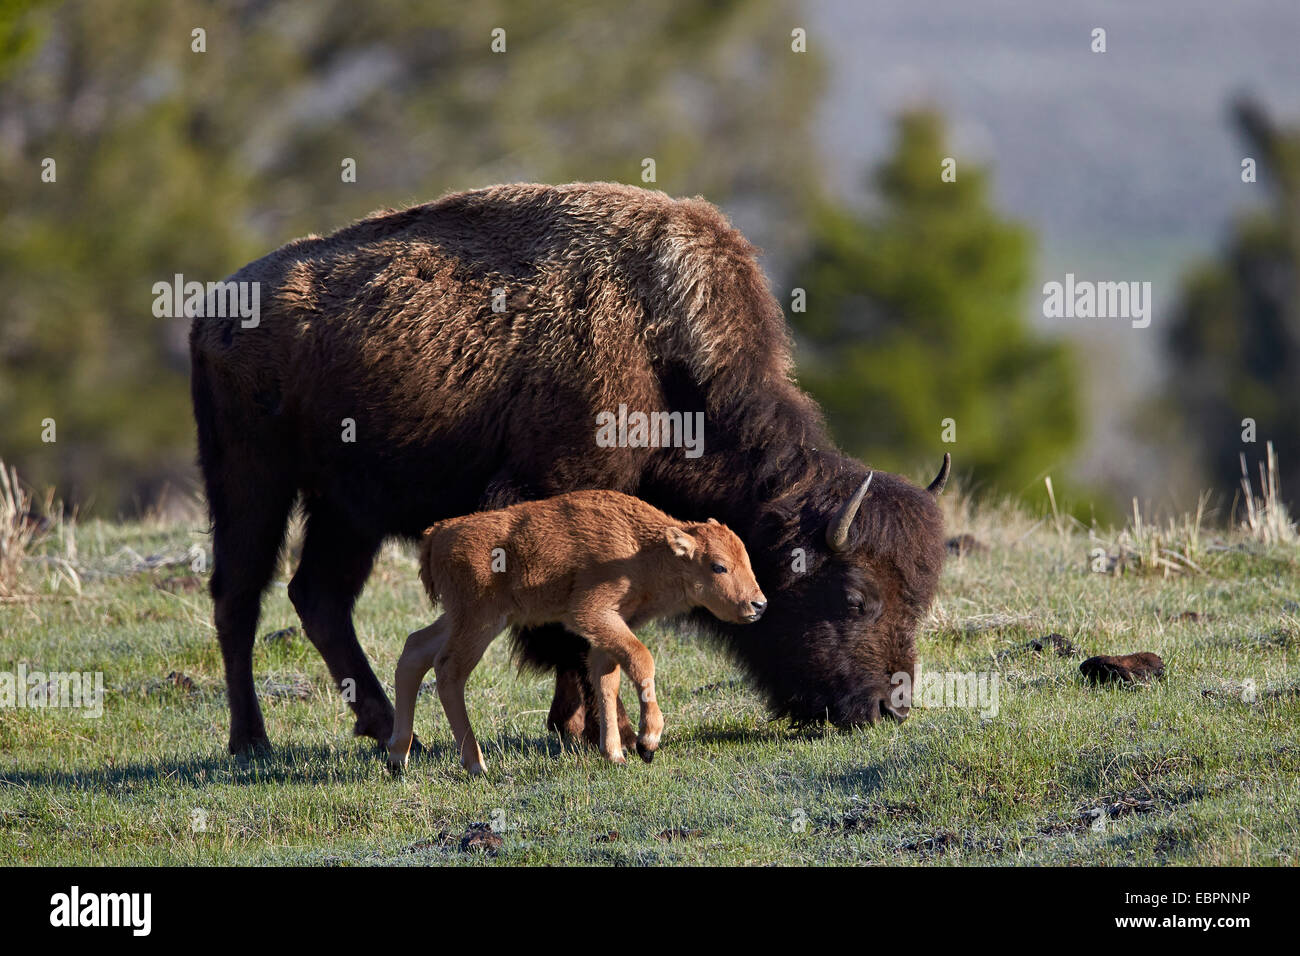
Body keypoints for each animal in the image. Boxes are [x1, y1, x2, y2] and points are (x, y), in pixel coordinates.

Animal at [386, 489, 766, 774]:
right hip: (480, 622)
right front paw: (647, 742)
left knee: (415, 650)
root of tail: (438, 534)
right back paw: (476, 764)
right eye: (718, 566)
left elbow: (607, 679)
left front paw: (615, 754)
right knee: (448, 670)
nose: (758, 604)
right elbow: (641, 659)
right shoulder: (591, 613)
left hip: (459, 618)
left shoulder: (608, 629)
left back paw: (397, 758)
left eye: (746, 559)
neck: (641, 546)